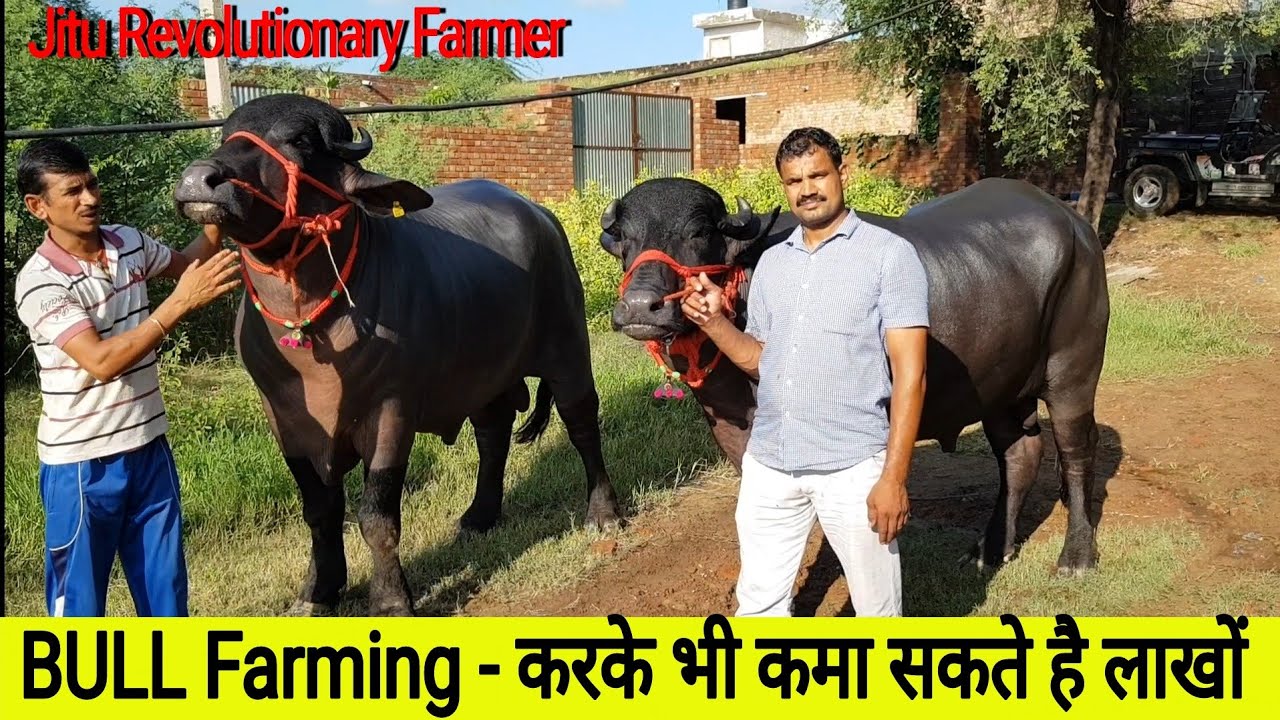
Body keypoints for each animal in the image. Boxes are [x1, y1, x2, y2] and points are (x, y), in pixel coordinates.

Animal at [172, 93, 622, 616]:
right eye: (227, 135)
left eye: (300, 140)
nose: (199, 180)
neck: (313, 330)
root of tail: (541, 215)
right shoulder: (284, 420)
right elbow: (320, 510)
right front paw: (318, 591)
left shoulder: (391, 409)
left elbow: (375, 514)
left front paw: (391, 600)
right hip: (484, 376)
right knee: (492, 435)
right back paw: (480, 514)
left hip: (567, 346)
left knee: (582, 423)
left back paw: (604, 512)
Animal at [600, 176, 1110, 577]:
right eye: (624, 235)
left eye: (699, 231)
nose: (640, 307)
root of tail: (1077, 225)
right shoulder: (730, 427)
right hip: (1002, 386)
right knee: (1020, 453)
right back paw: (990, 550)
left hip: (1073, 371)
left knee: (1076, 452)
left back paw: (1077, 557)